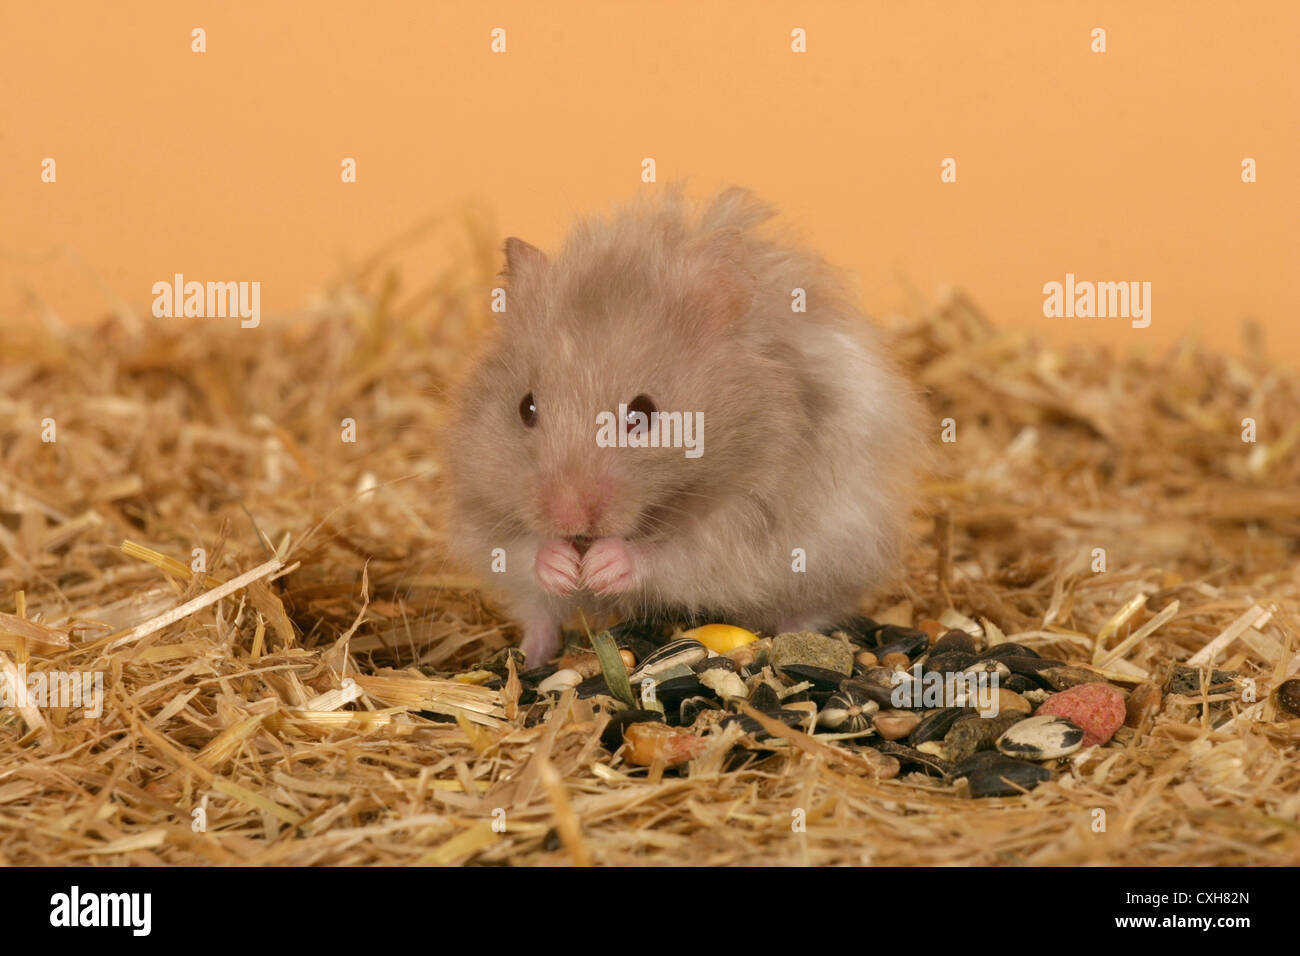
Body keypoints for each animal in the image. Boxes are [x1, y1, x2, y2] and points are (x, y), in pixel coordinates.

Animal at [445, 187, 928, 663]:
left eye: (643, 413)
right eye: (525, 408)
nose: (568, 520)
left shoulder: (744, 522)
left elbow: (672, 554)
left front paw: (602, 565)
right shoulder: (482, 510)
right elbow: (518, 548)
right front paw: (562, 566)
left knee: (812, 610)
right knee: (540, 616)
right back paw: (531, 655)